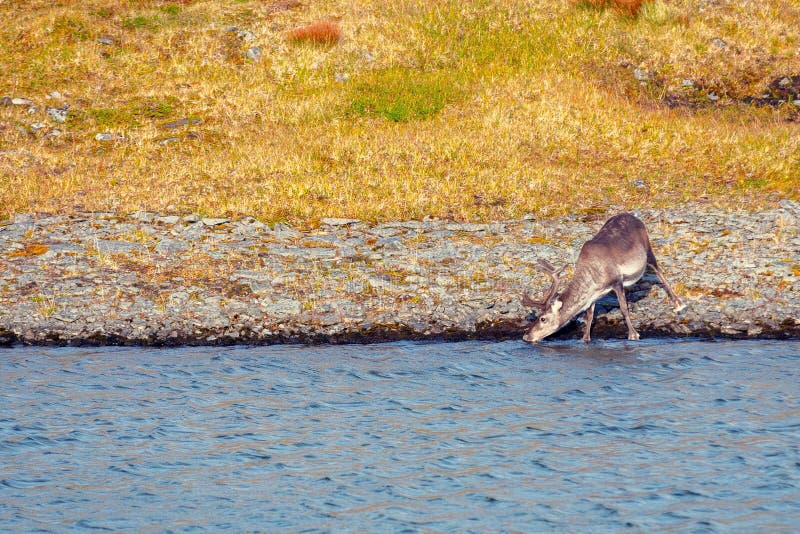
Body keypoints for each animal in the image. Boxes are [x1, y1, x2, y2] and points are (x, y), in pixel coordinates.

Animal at [522, 213, 685, 343]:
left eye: (543, 318)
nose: (526, 336)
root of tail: (634, 216)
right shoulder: (594, 294)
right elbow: (589, 314)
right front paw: (585, 338)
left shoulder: (617, 280)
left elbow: (623, 308)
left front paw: (633, 334)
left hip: (647, 247)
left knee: (658, 271)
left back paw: (679, 304)